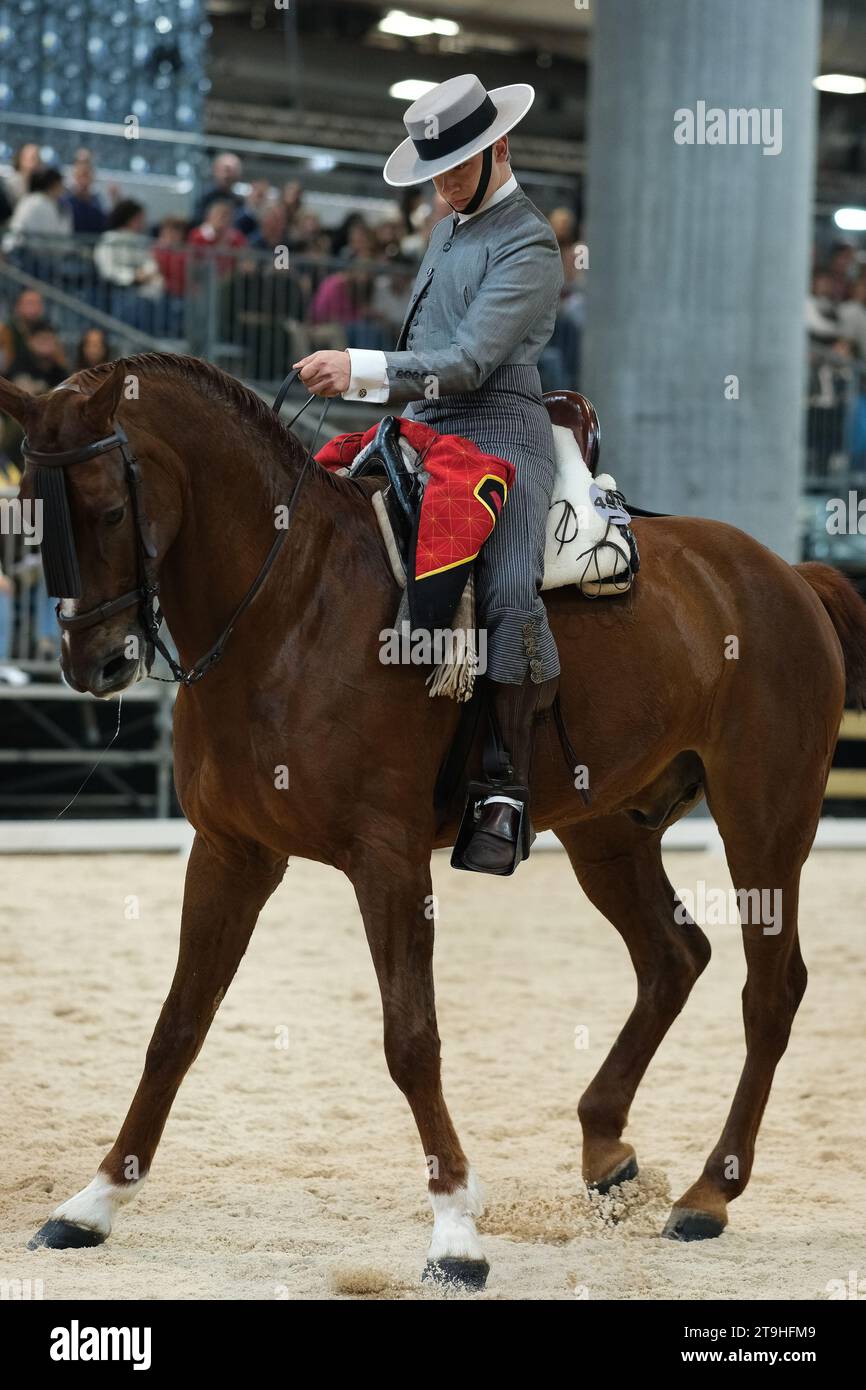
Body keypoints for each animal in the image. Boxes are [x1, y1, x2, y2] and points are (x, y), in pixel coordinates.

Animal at [3, 353, 864, 1288]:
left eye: (108, 509)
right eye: (30, 515)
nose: (93, 663)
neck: (290, 603)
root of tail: (787, 574)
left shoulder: (387, 856)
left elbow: (411, 1040)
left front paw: (455, 1231)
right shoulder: (232, 851)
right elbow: (176, 1027)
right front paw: (92, 1205)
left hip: (763, 819)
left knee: (770, 991)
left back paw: (710, 1191)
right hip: (605, 830)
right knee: (674, 957)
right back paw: (607, 1151)